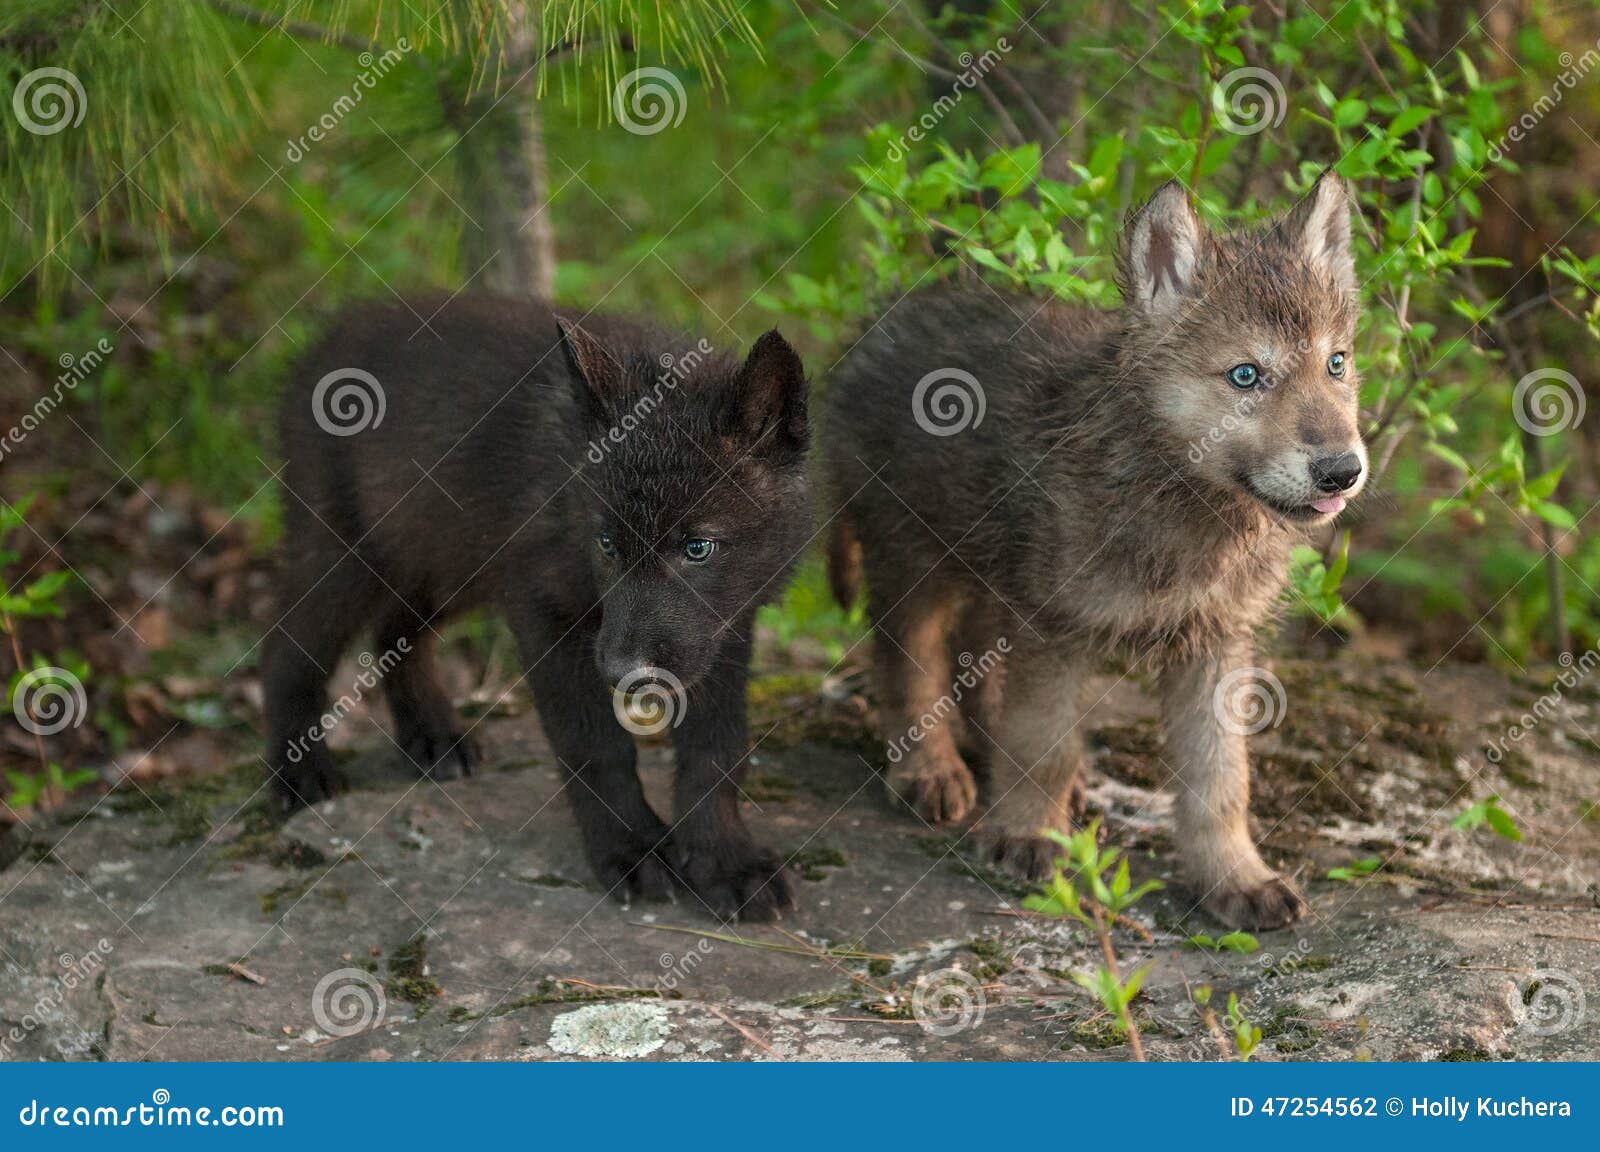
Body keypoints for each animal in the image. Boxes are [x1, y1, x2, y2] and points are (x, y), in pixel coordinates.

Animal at [265, 296, 809, 921]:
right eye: (606, 544)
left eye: (698, 547)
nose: (623, 673)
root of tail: (323, 340)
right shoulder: (543, 609)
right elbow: (595, 744)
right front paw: (633, 850)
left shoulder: (722, 630)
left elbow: (716, 751)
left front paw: (726, 863)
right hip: (346, 554)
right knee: (284, 642)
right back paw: (299, 771)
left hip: (440, 557)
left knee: (395, 631)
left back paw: (432, 738)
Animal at [823, 172, 1365, 928]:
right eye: (1246, 376)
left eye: (1335, 363)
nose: (1342, 470)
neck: (1184, 501)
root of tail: (877, 324)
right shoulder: (1054, 624)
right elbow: (1042, 742)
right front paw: (1028, 839)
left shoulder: (1216, 642)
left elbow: (1220, 780)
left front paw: (1234, 877)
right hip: (911, 554)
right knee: (910, 664)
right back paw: (931, 771)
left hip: (994, 570)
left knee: (972, 655)